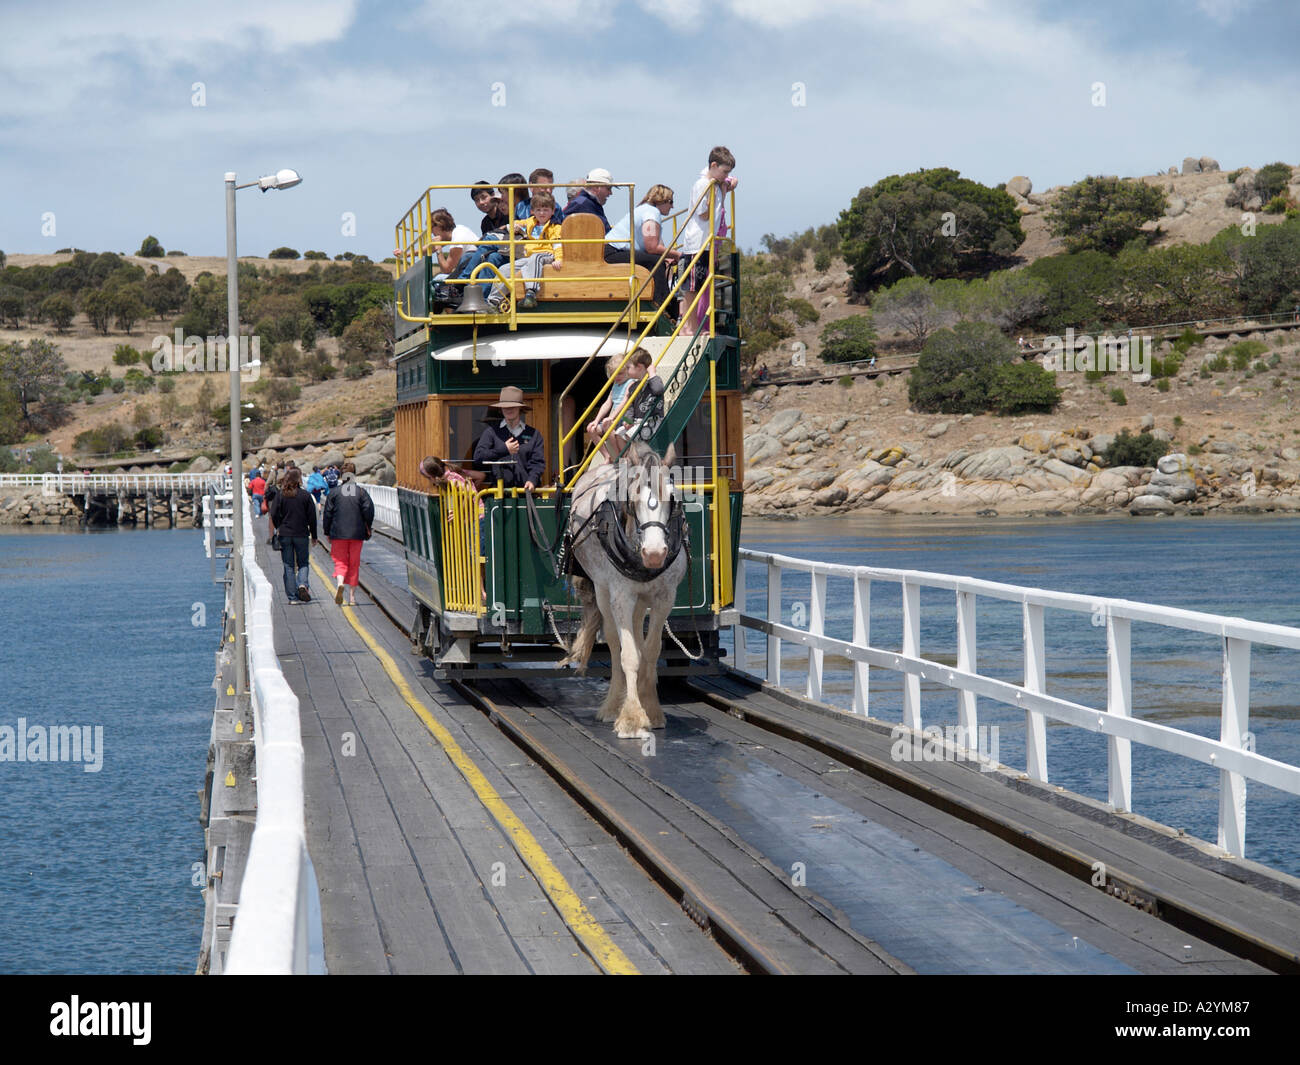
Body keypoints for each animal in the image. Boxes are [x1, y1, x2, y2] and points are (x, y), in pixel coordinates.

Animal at [562, 440, 686, 739]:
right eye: (633, 497)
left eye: (672, 497)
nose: (655, 553)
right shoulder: (621, 596)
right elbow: (628, 655)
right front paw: (631, 718)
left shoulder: (665, 598)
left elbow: (650, 652)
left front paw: (651, 709)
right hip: (603, 592)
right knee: (613, 639)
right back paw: (611, 707)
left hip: (640, 599)